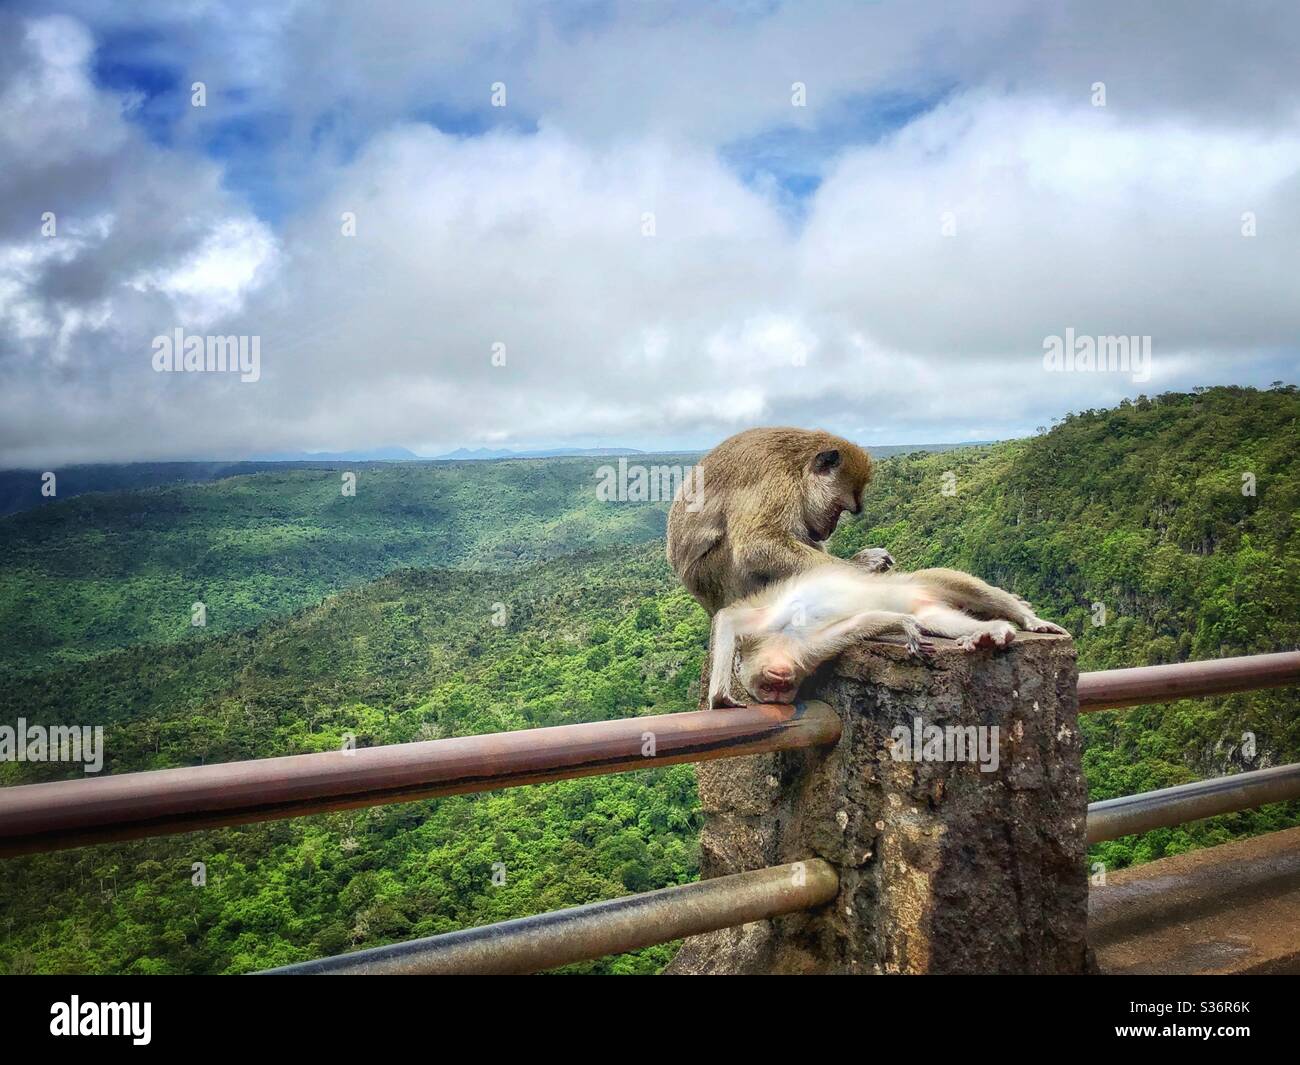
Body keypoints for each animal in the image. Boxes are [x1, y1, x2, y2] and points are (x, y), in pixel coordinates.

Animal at [666, 427, 894, 618]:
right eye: (837, 509)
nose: (831, 530)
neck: (797, 467)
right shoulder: (775, 478)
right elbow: (757, 544)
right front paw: (861, 565)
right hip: (716, 580)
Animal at [707, 564, 1068, 708]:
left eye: (776, 688)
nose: (779, 682)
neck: (783, 643)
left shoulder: (768, 632)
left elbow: (728, 620)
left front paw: (720, 698)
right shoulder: (811, 652)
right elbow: (858, 625)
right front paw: (904, 624)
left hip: (925, 579)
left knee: (973, 588)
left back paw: (1026, 618)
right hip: (931, 608)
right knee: (941, 621)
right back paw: (994, 633)